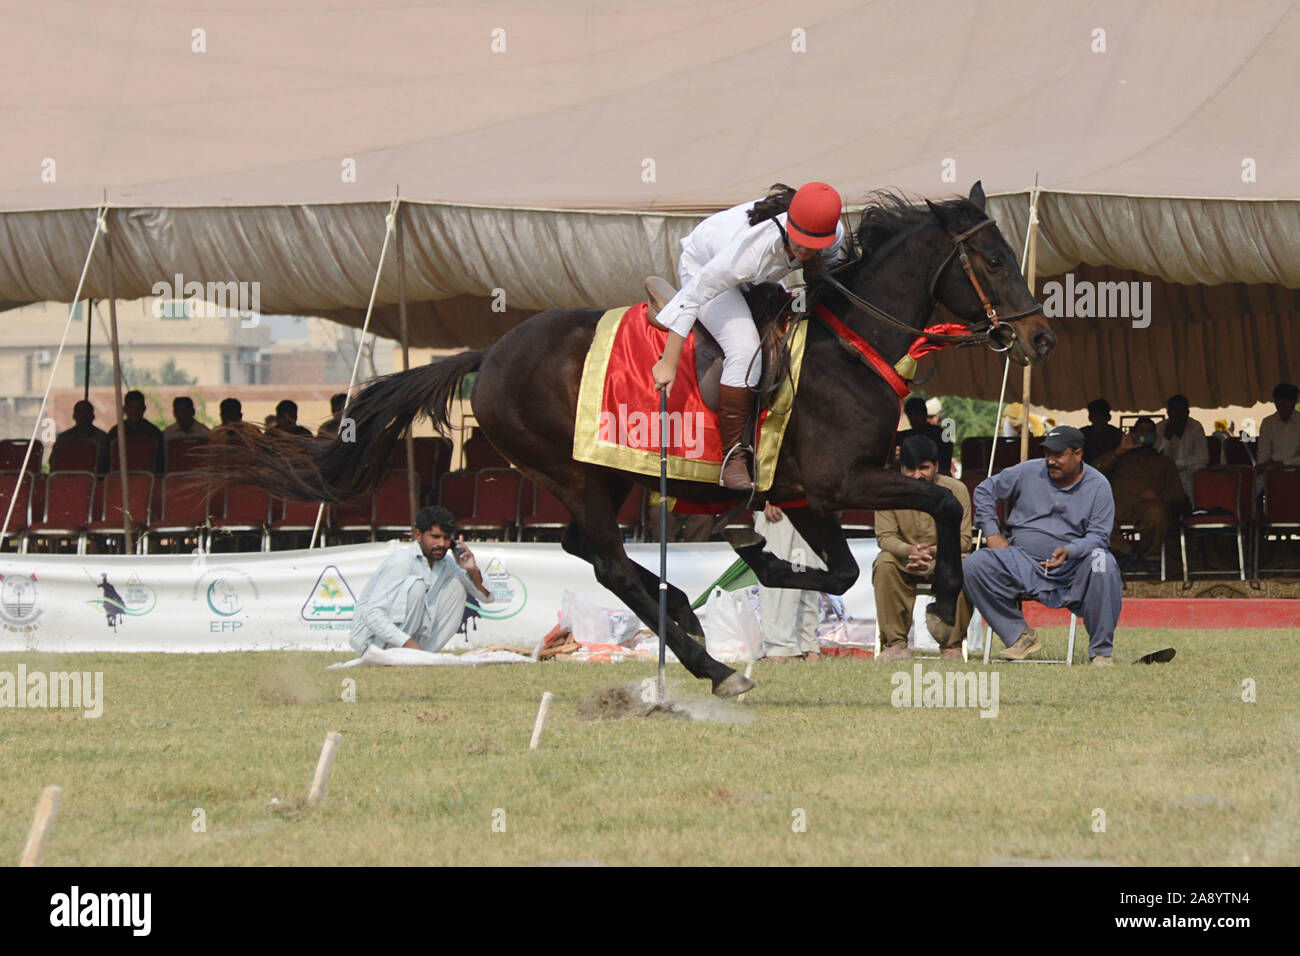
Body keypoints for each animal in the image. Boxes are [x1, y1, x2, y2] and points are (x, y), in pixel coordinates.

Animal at [208, 182, 1054, 697]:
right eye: (990, 257)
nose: (1039, 338)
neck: (848, 345)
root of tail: (491, 353)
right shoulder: (841, 482)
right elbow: (941, 509)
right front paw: (942, 602)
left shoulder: (805, 493)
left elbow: (841, 568)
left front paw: (759, 560)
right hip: (576, 472)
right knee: (609, 561)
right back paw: (709, 661)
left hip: (601, 477)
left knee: (590, 552)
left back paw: (681, 610)